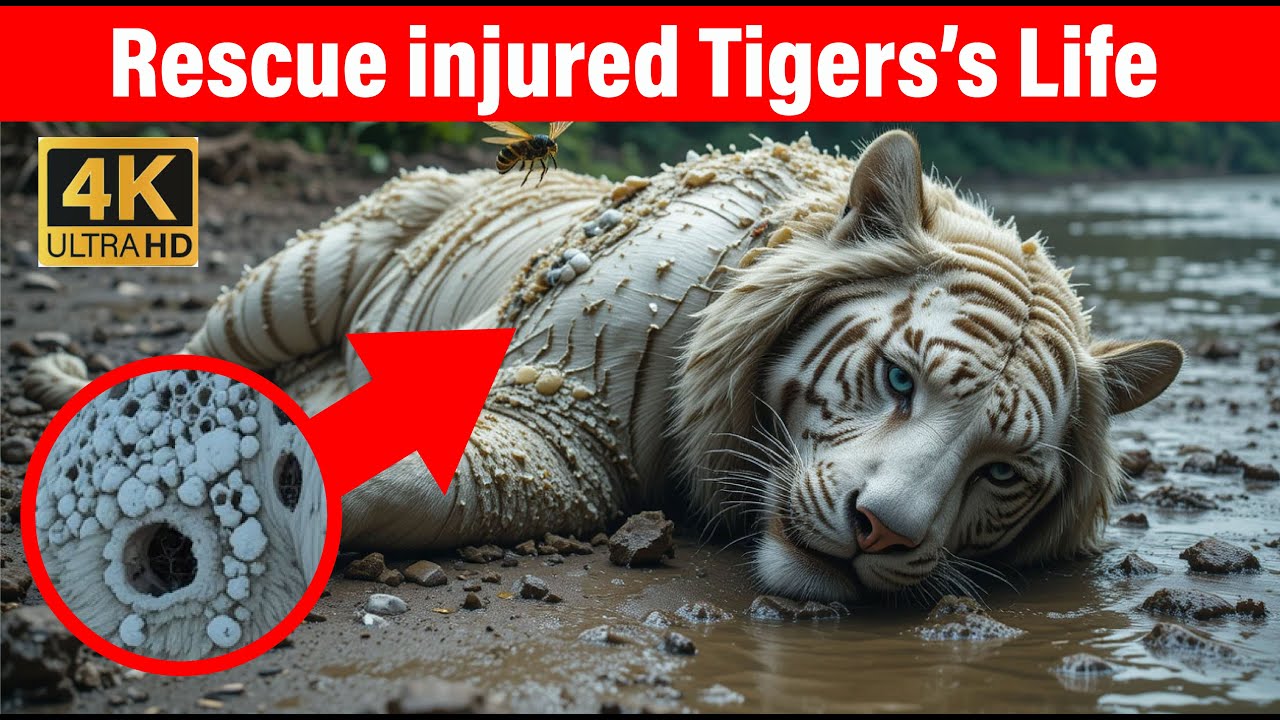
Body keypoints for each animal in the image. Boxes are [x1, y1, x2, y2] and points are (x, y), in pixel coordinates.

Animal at [30, 129, 1184, 602]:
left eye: (1002, 472)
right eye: (899, 379)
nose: (882, 533)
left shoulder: (561, 446)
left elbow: (410, 482)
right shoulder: (563, 391)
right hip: (302, 273)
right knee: (206, 344)